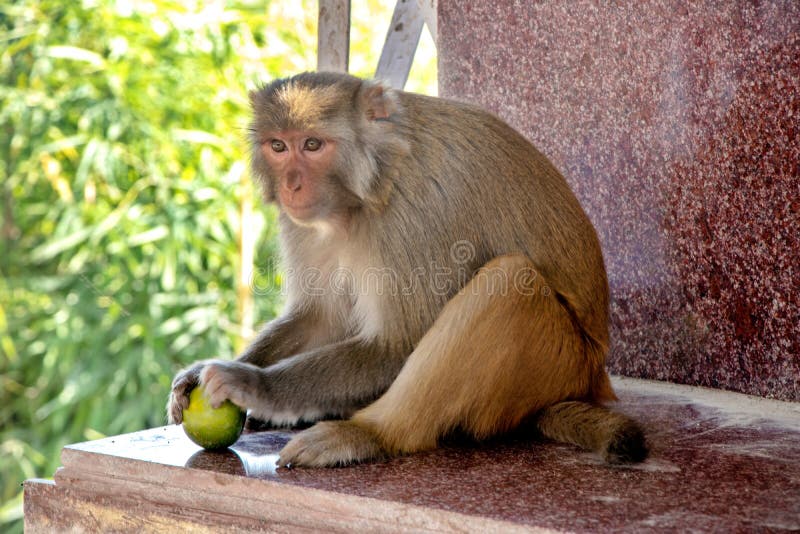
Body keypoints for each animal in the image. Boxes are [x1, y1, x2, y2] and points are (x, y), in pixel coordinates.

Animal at [167, 71, 648, 467]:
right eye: (278, 146)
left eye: (313, 145)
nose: (291, 185)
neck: (373, 184)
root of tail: (593, 378)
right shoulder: (302, 224)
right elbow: (323, 318)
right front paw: (200, 372)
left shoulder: (417, 218)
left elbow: (399, 345)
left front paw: (256, 384)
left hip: (559, 362)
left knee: (509, 282)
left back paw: (370, 434)